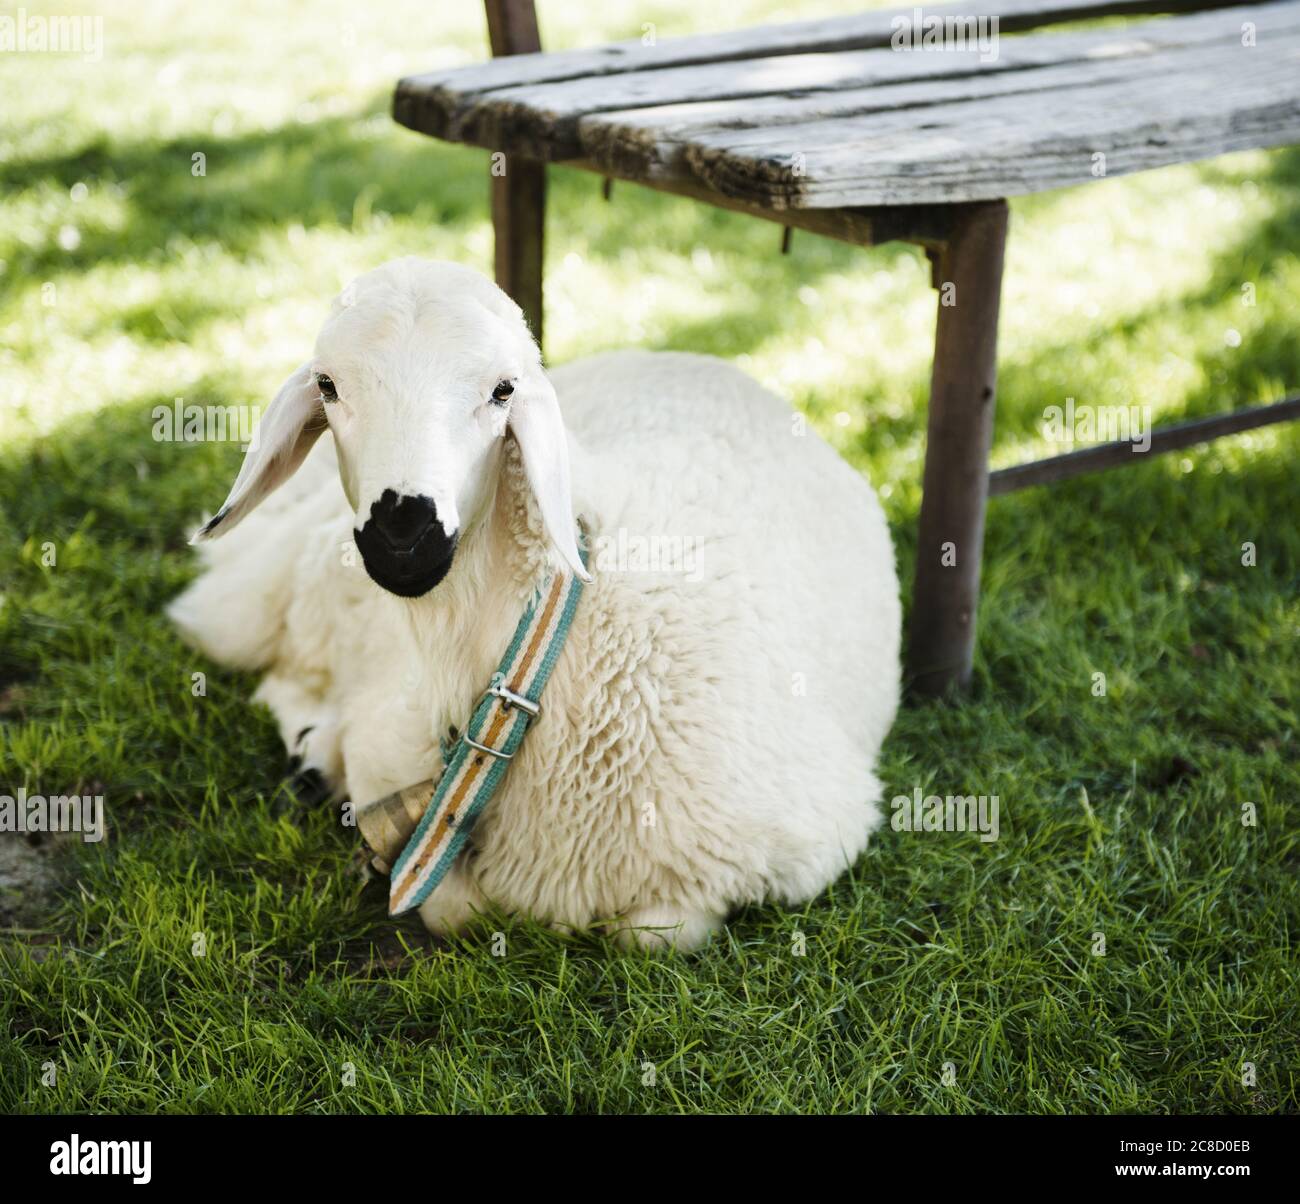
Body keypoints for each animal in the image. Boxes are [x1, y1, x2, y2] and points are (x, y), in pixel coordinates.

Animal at [168, 257, 901, 951]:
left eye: (503, 391)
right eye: (328, 385)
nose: (403, 532)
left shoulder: (796, 844)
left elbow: (655, 932)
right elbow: (451, 908)